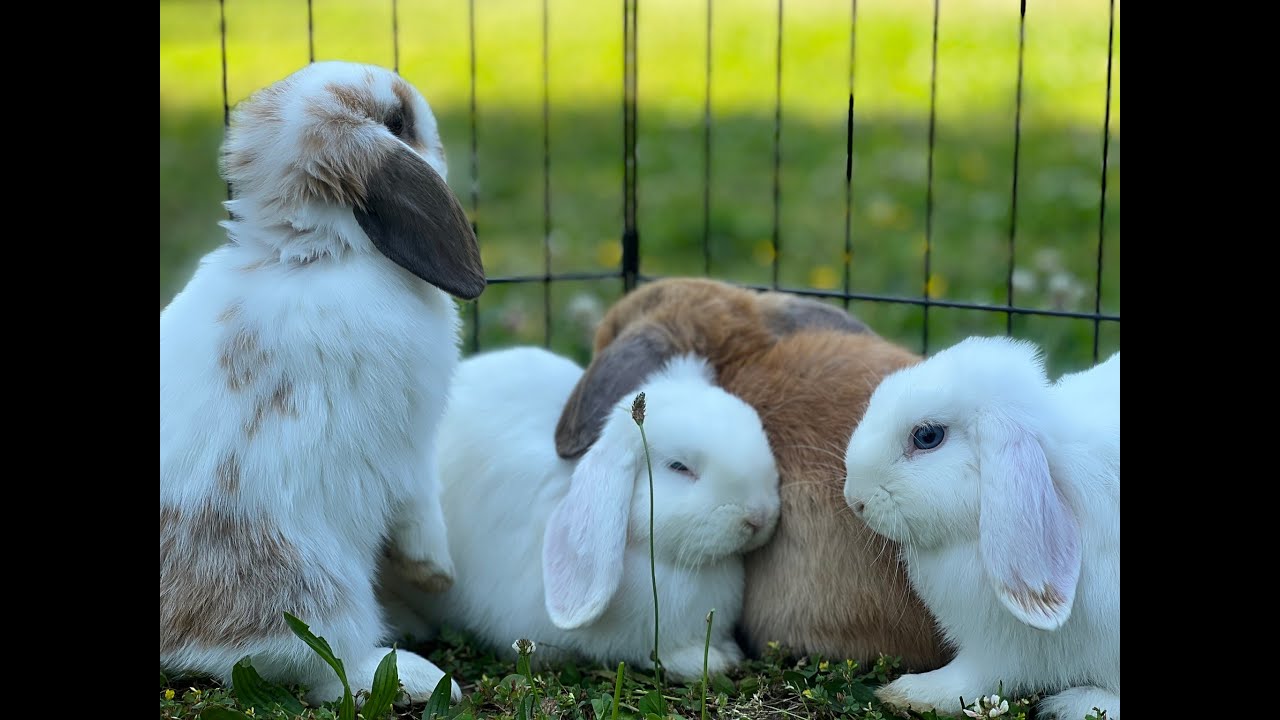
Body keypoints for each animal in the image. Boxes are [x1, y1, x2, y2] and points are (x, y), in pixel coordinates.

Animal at [159, 60, 484, 705]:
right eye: (397, 122)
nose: (424, 114)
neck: (314, 253)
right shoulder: (411, 450)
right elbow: (420, 511)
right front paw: (437, 573)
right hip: (315, 591)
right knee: (321, 667)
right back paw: (419, 675)